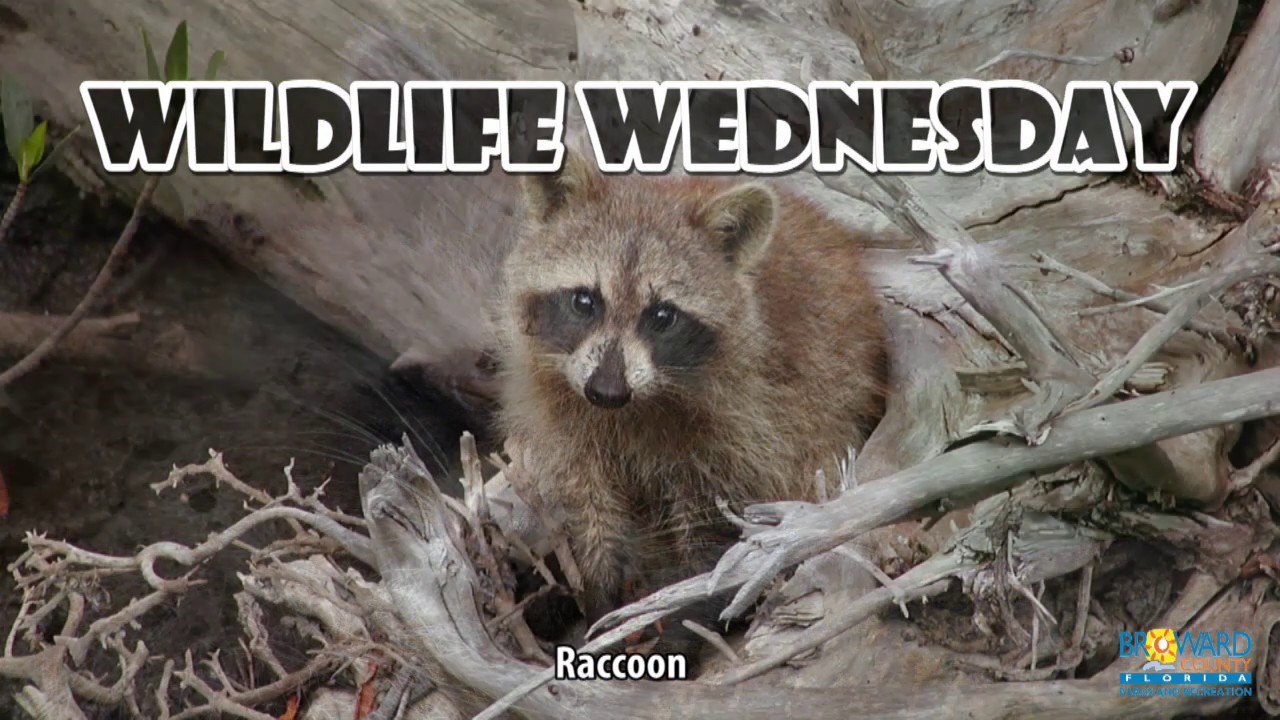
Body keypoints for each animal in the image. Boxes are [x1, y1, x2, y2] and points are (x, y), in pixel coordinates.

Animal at [495, 147, 888, 661]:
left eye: (662, 316)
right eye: (584, 301)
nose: (607, 392)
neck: (636, 406)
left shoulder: (749, 421)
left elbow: (715, 528)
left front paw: (685, 616)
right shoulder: (568, 416)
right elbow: (593, 507)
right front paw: (599, 593)